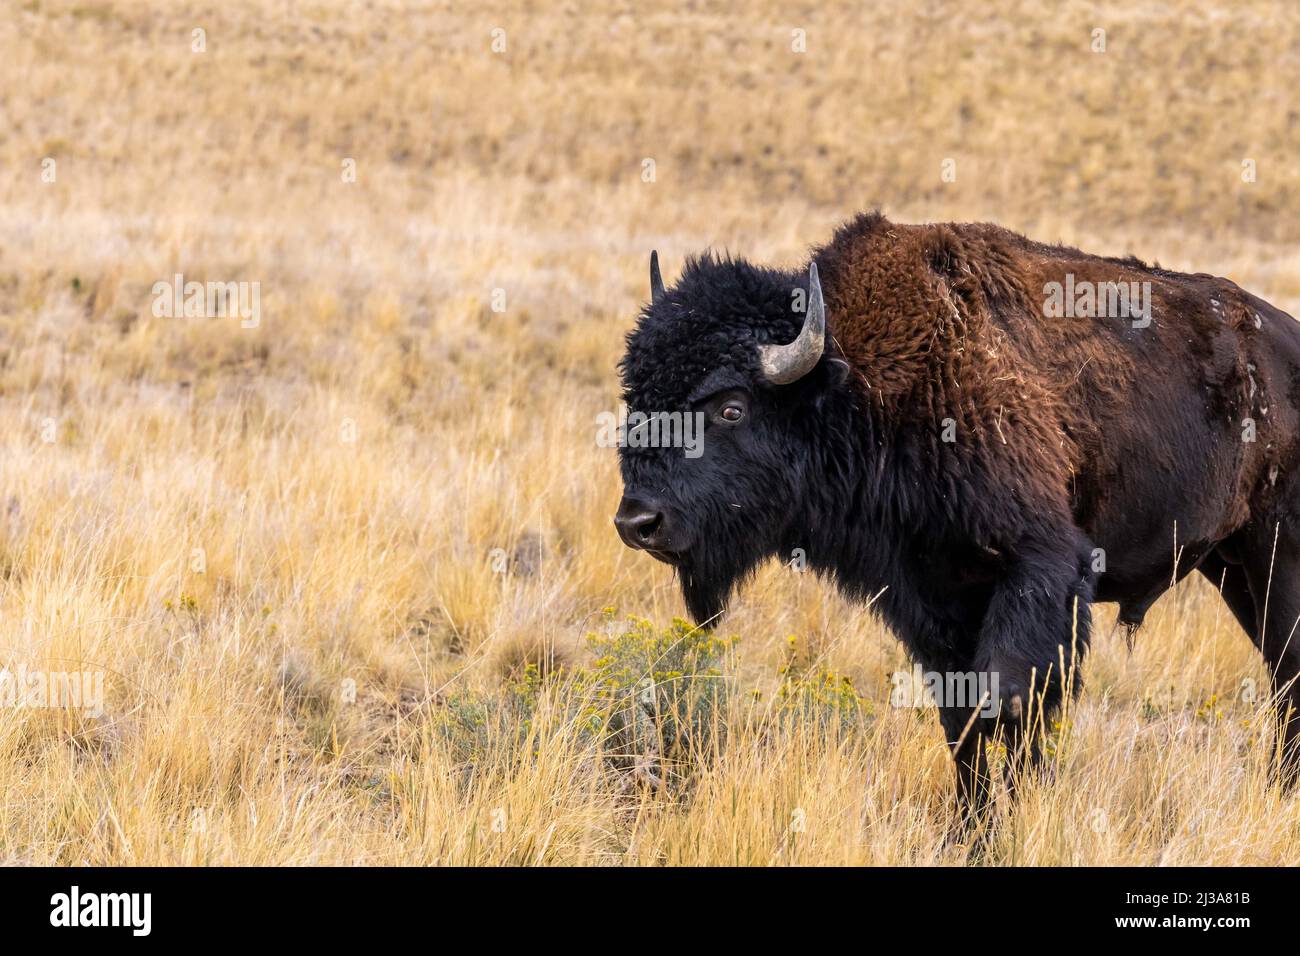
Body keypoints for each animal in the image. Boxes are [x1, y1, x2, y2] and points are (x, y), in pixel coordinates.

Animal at [614, 211, 1300, 819]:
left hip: (1274, 556)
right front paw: (975, 829)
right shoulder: (931, 602)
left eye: (731, 406)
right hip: (1231, 567)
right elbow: (960, 722)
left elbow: (1010, 709)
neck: (867, 386)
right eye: (635, 399)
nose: (637, 522)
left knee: (1286, 669)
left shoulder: (1040, 573)